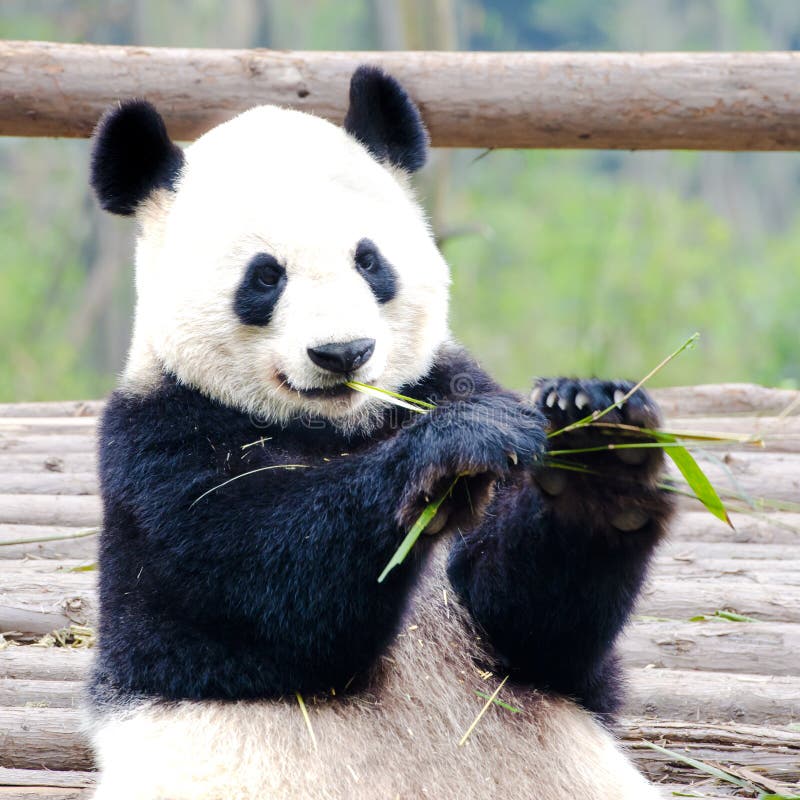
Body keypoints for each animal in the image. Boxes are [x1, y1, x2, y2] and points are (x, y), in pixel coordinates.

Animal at [86, 66, 674, 799]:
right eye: (265, 276)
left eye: (369, 261)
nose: (343, 353)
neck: (340, 426)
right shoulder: (158, 445)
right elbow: (257, 580)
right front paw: (450, 447)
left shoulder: (439, 379)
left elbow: (532, 626)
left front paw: (597, 452)